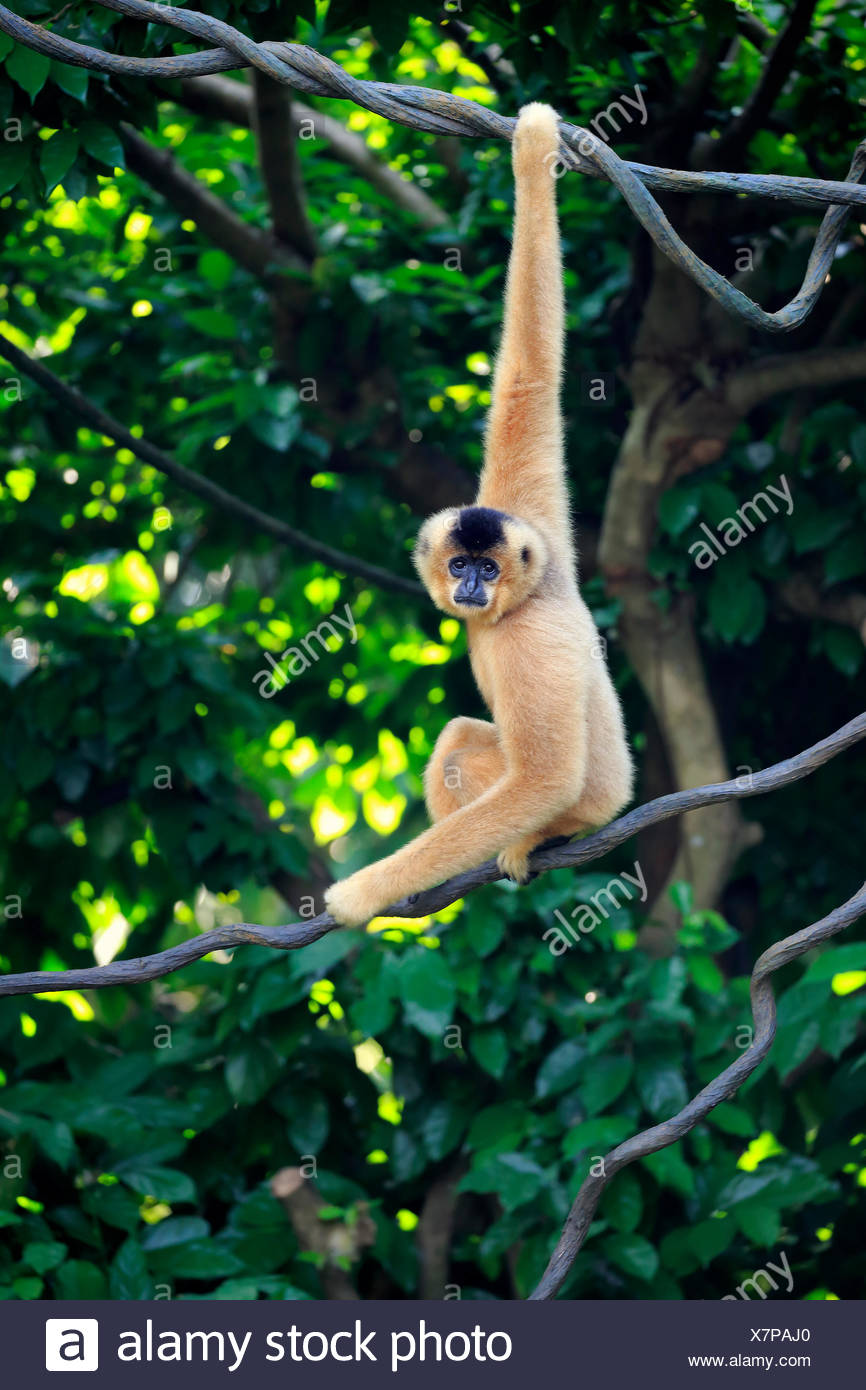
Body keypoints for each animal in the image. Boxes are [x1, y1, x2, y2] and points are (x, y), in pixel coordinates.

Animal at [324, 103, 633, 929]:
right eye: (460, 563)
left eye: (486, 570)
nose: (468, 586)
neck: (522, 600)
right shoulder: (536, 520)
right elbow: (529, 373)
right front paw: (534, 154)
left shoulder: (531, 644)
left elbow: (547, 776)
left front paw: (363, 892)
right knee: (461, 735)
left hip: (589, 811)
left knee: (491, 760)